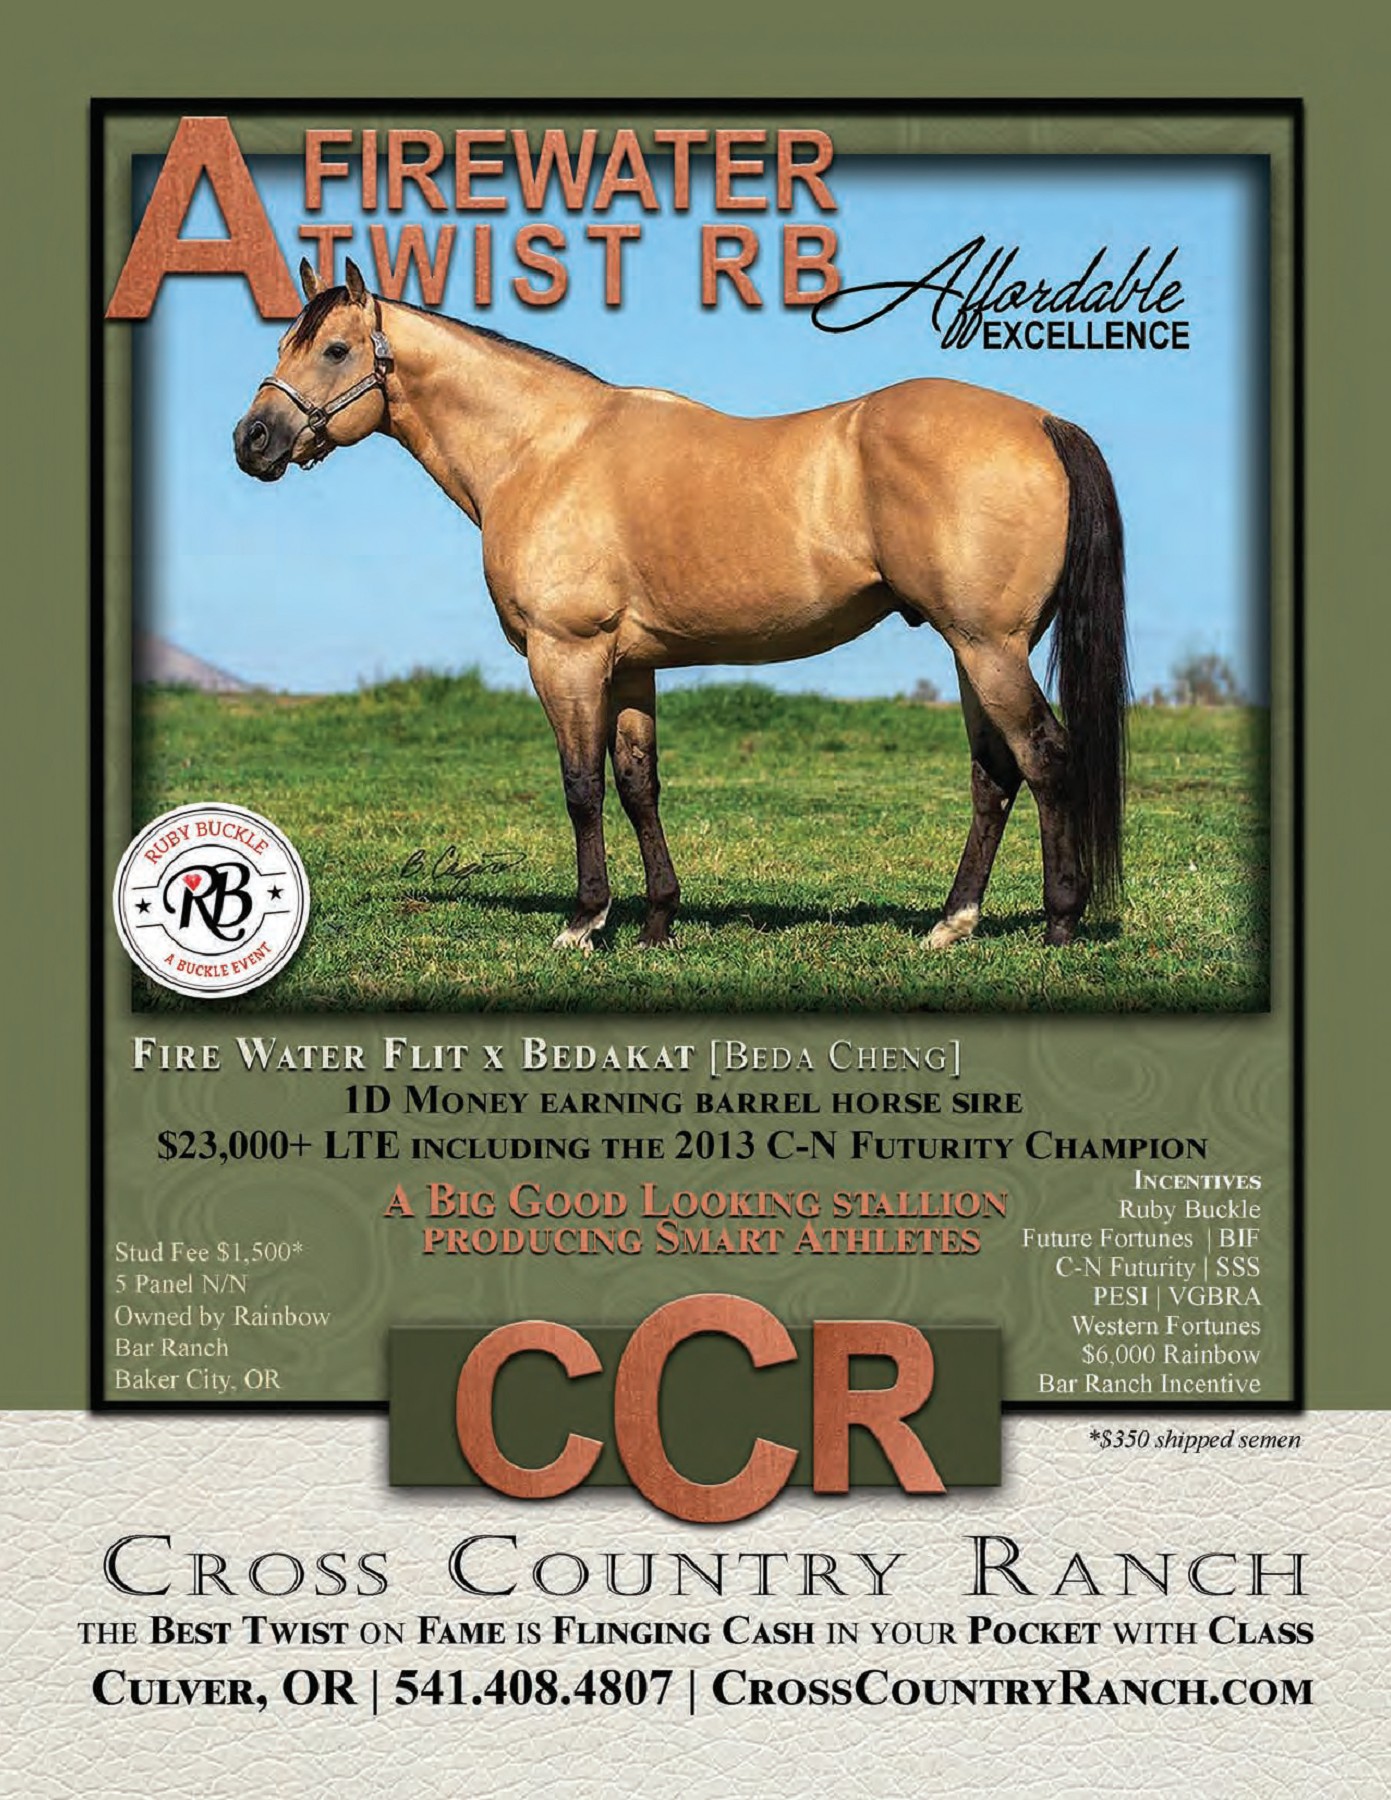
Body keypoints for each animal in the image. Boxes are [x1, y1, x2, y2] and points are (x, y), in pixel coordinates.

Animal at [234, 258, 1127, 954]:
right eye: (282, 347)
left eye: (336, 349)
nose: (253, 440)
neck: (544, 450)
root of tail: (1041, 422)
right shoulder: (631, 667)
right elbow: (638, 785)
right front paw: (657, 922)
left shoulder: (566, 655)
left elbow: (580, 787)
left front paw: (584, 922)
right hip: (976, 649)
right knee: (994, 775)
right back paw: (952, 922)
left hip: (987, 645)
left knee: (1044, 757)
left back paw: (1058, 923)